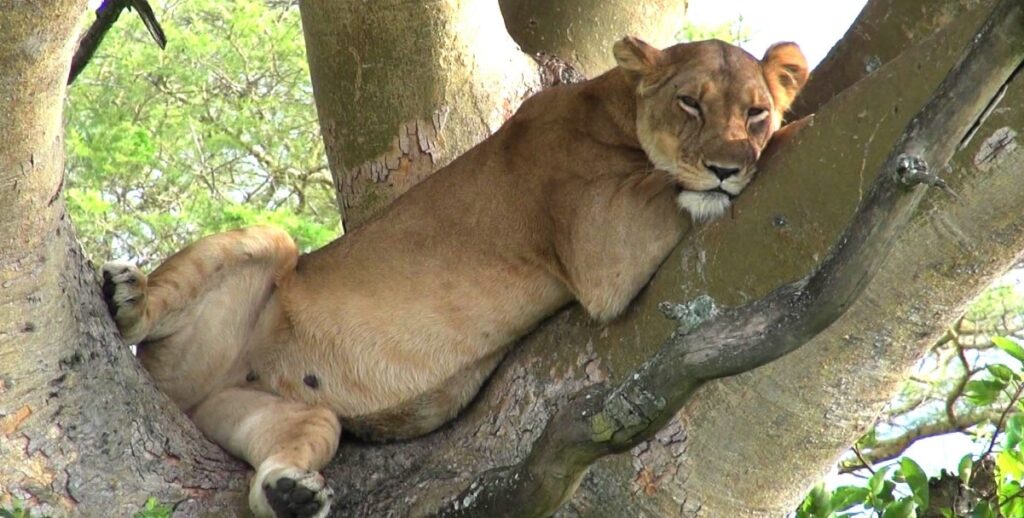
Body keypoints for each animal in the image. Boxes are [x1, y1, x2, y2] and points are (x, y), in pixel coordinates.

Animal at [101, 37, 807, 518]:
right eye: (689, 104)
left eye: (754, 112)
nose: (728, 167)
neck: (613, 108)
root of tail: (192, 393)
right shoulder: (599, 238)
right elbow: (667, 189)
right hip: (265, 250)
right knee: (159, 312)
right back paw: (126, 298)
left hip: (266, 411)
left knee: (301, 437)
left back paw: (288, 494)